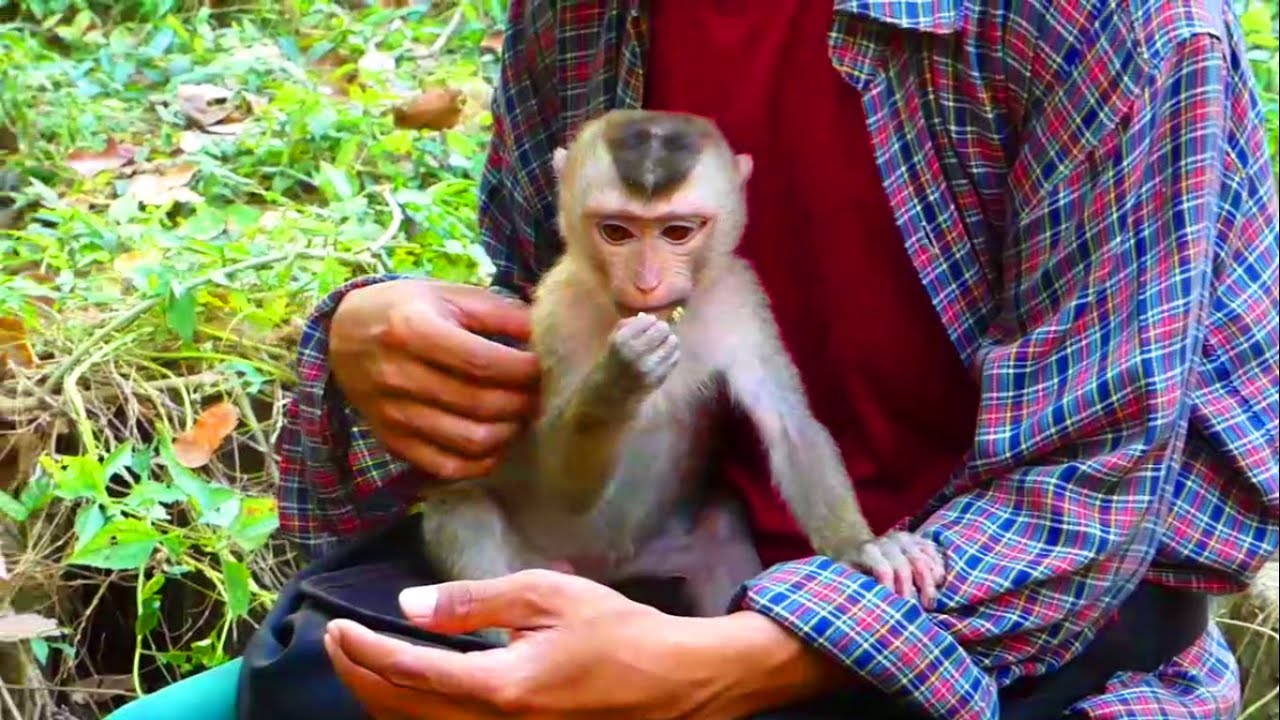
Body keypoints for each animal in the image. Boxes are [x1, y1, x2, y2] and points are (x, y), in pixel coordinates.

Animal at [416, 109, 945, 631]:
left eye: (677, 232)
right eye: (616, 231)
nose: (646, 283)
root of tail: (600, 573)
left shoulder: (739, 295)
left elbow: (789, 427)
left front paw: (863, 547)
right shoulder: (558, 311)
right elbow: (562, 484)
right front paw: (618, 381)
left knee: (722, 529)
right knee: (462, 515)